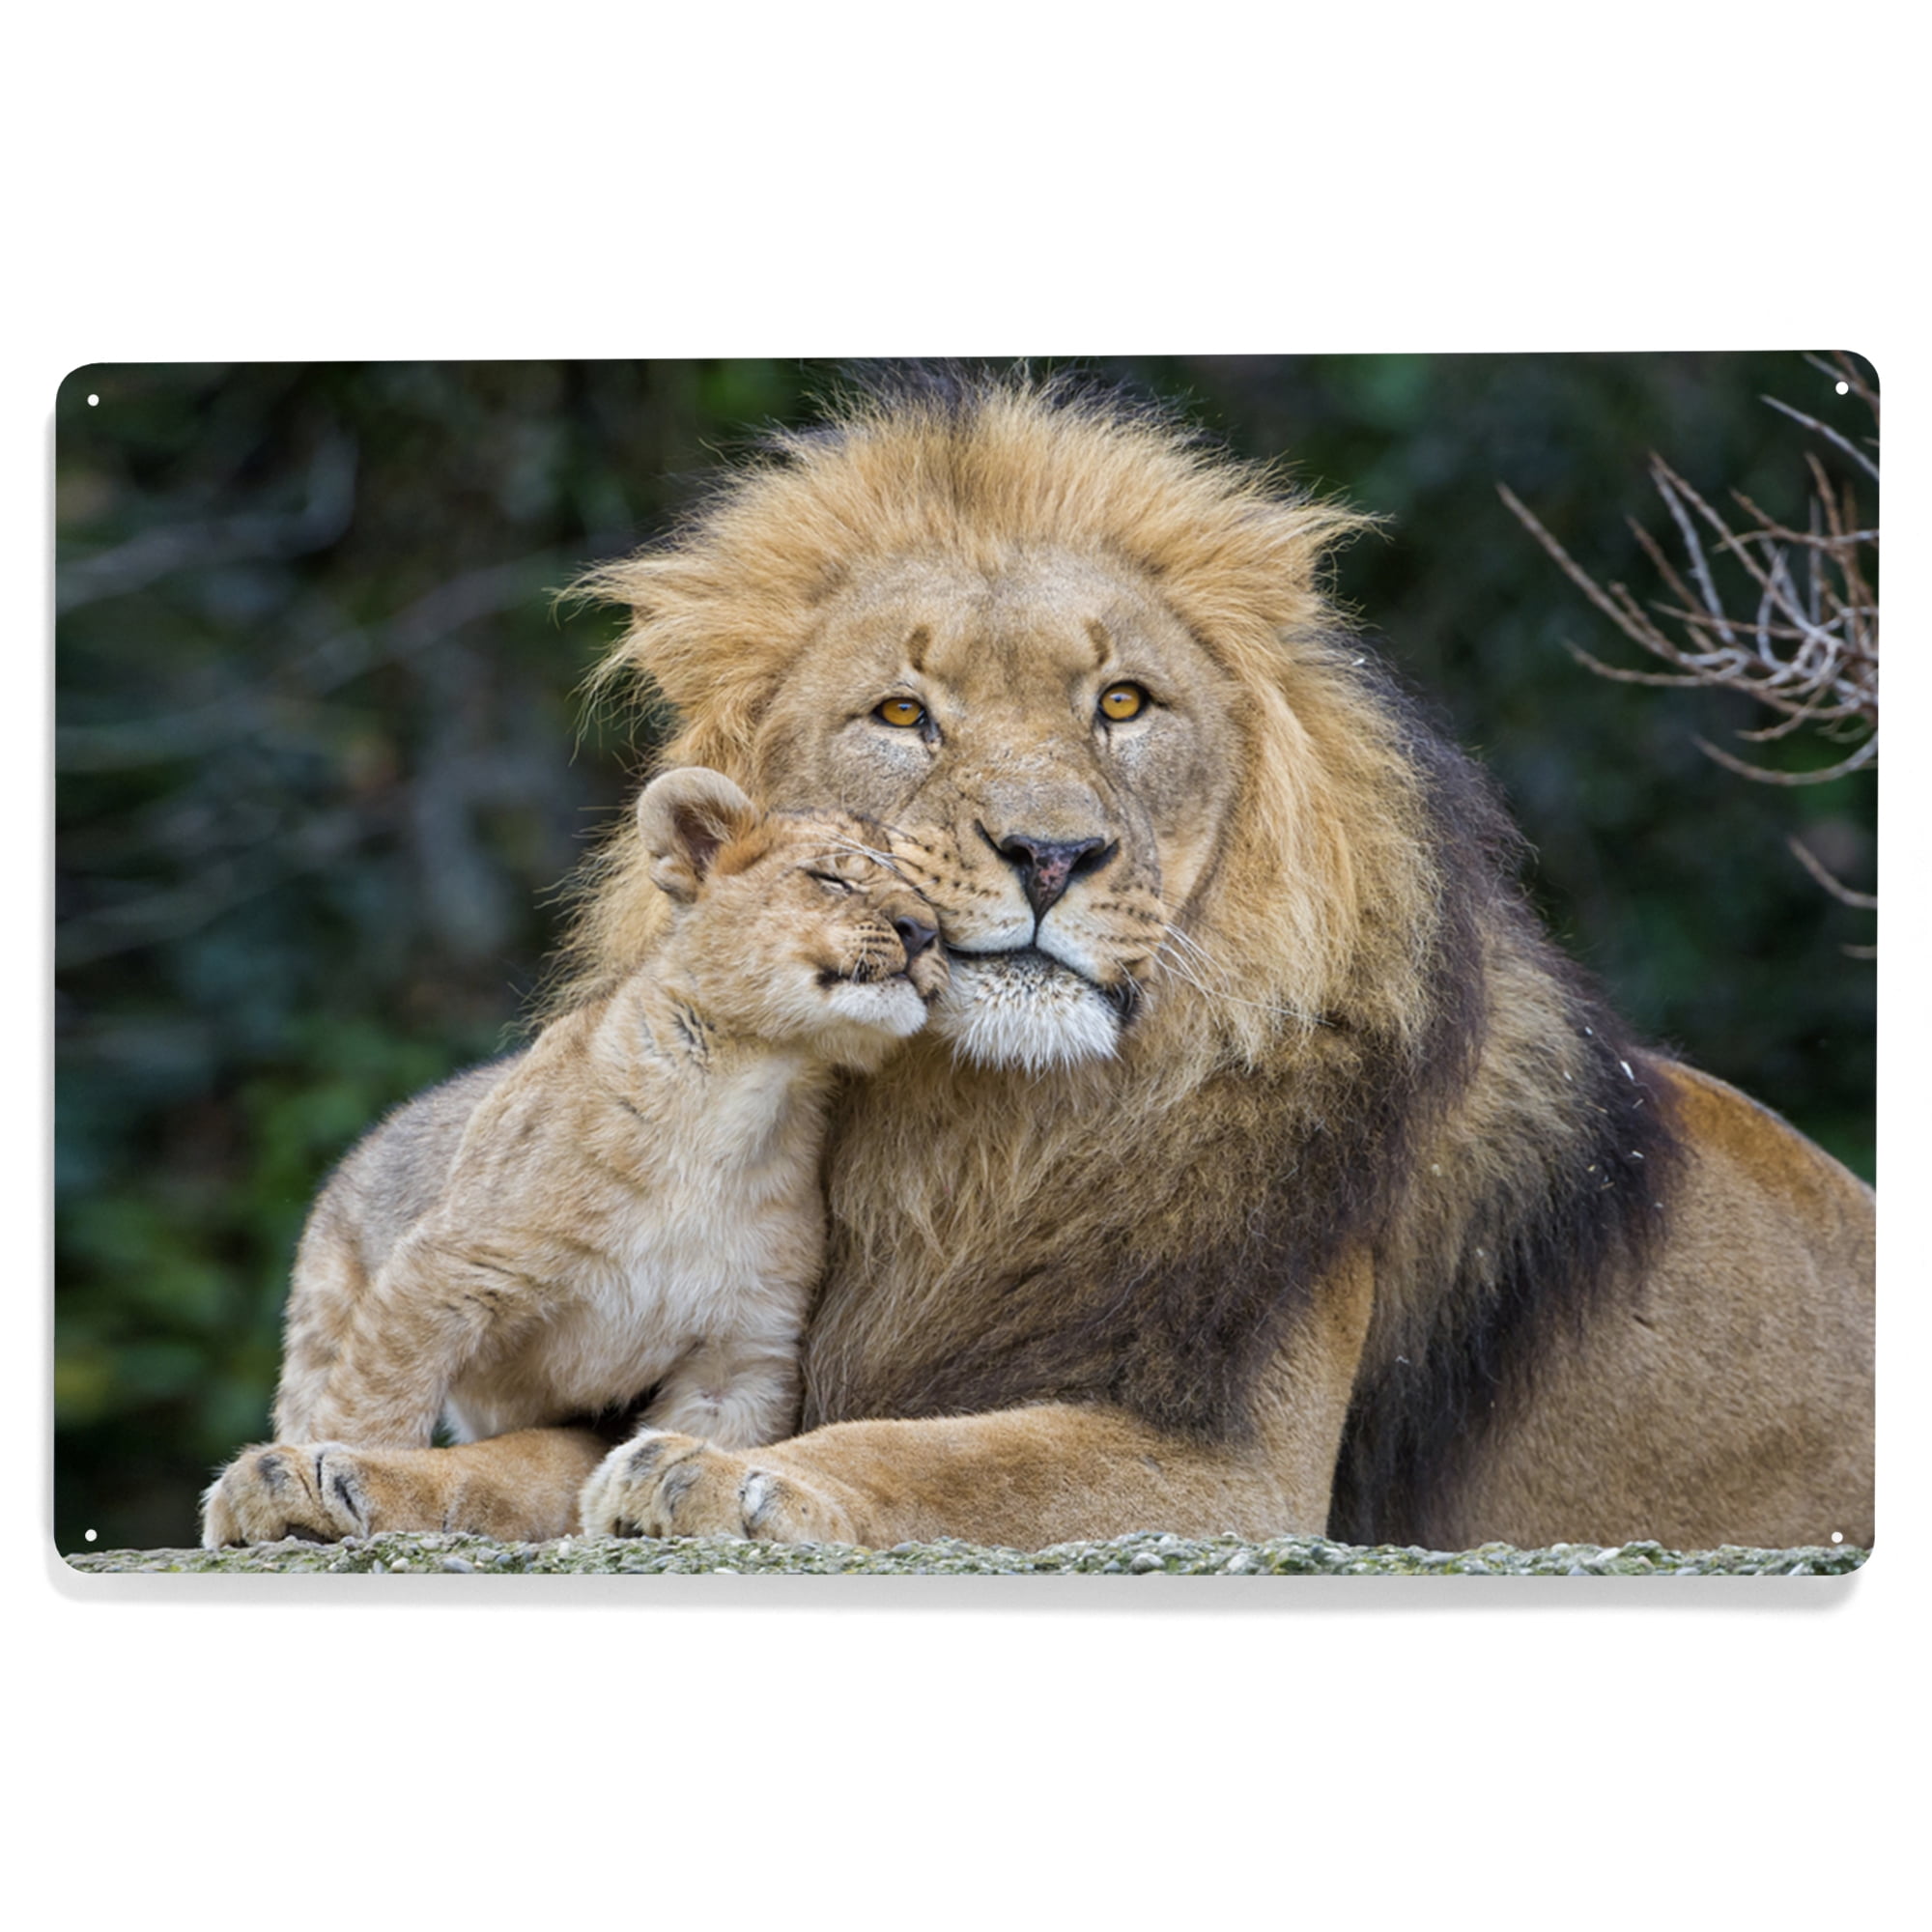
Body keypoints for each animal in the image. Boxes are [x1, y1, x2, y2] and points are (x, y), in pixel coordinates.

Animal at [199, 767, 947, 1547]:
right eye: (833, 878)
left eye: (932, 905)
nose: (924, 933)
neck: (747, 1099)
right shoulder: (445, 1271)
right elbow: (374, 1405)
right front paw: (334, 1476)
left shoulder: (739, 1350)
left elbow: (697, 1440)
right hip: (326, 1307)